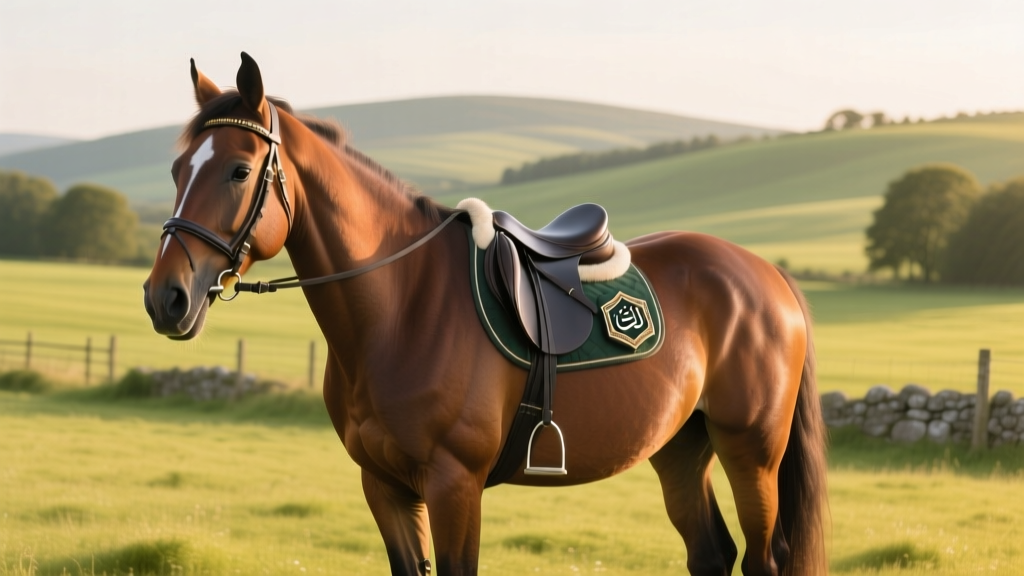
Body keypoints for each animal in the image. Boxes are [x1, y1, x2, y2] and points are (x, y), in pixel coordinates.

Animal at [143, 53, 827, 576]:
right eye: (176, 169)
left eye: (238, 171)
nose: (165, 297)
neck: (402, 309)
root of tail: (768, 276)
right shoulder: (384, 486)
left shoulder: (454, 485)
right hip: (681, 447)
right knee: (711, 554)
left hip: (751, 452)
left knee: (762, 559)